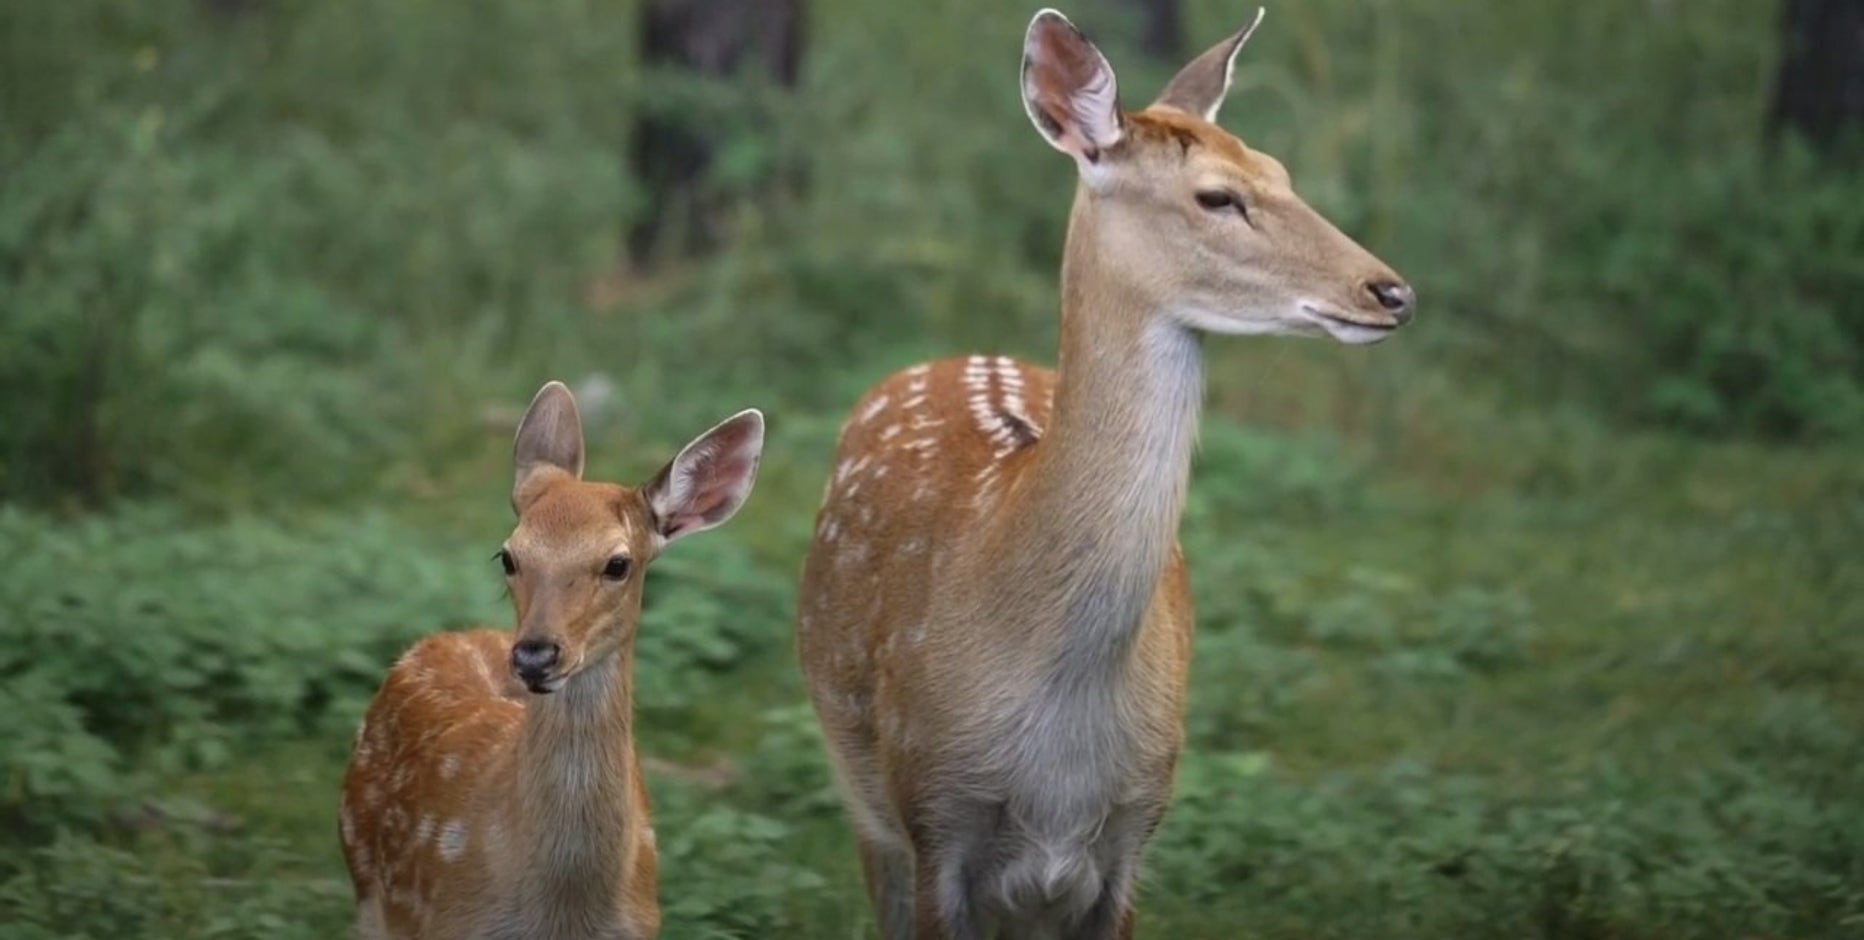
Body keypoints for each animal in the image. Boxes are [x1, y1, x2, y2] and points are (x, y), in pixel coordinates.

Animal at [794, 7, 1415, 939]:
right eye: (1217, 196)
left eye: (1279, 171)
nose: (1391, 292)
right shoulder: (932, 814)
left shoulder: (1135, 832)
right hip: (864, 800)